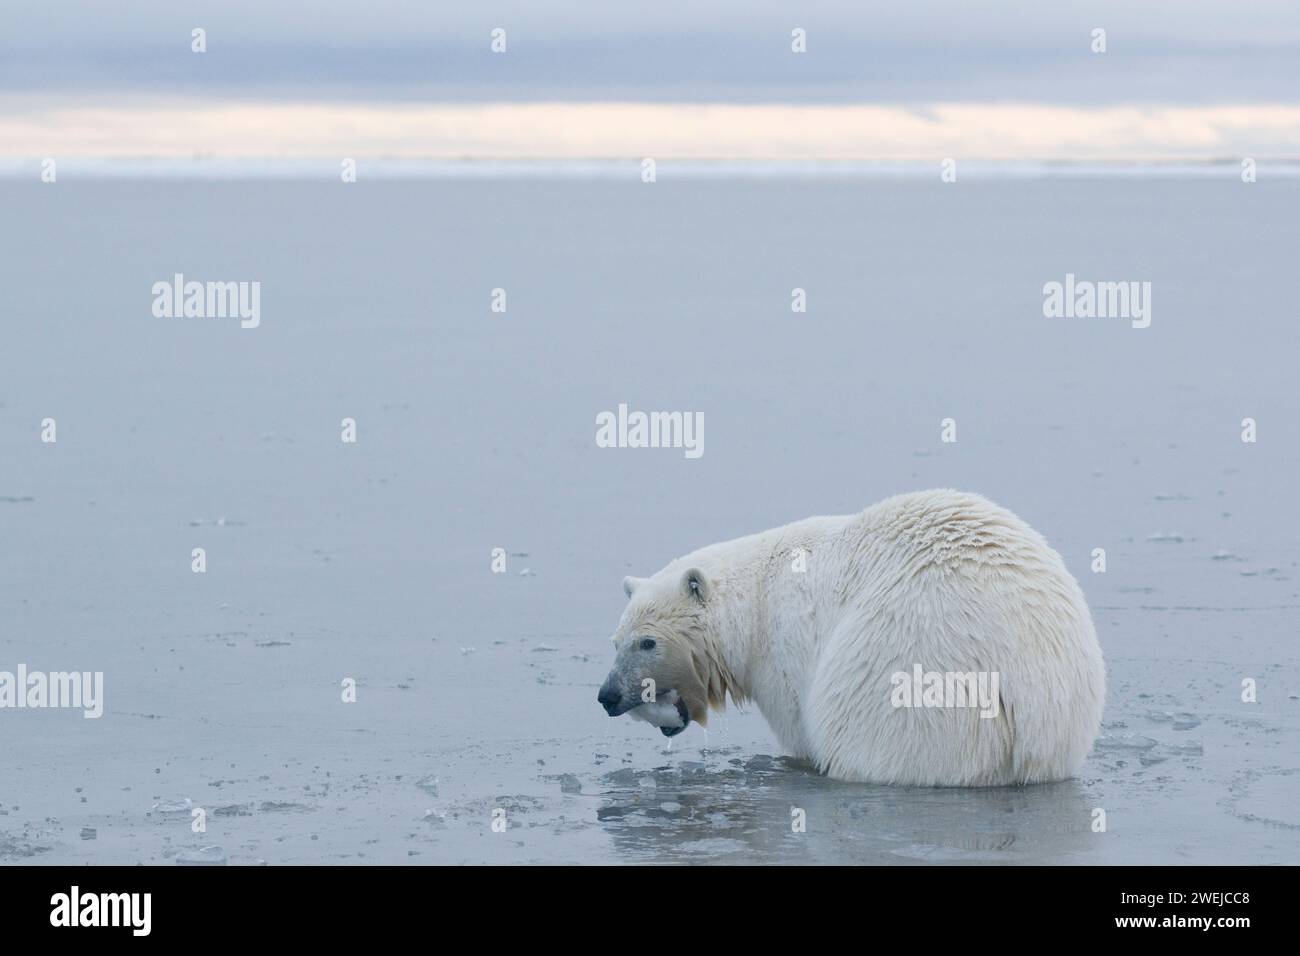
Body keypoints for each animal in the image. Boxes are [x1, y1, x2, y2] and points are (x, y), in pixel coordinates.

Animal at [597, 489, 1105, 786]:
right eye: (616, 641)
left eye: (647, 642)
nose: (607, 695)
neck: (756, 597)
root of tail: (1024, 700)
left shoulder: (783, 651)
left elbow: (798, 727)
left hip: (904, 669)